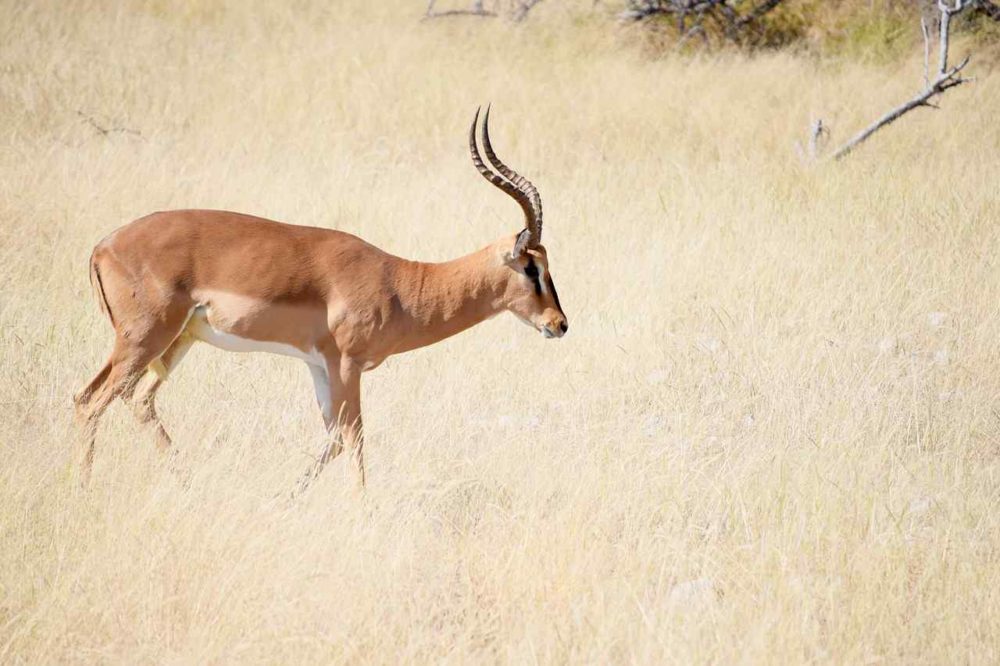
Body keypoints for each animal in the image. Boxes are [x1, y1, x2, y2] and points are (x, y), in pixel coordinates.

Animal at [73, 108, 568, 490]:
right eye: (532, 268)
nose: (559, 324)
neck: (400, 284)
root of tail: (102, 244)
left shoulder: (318, 365)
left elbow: (332, 440)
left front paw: (285, 498)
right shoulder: (348, 364)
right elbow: (356, 438)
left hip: (177, 340)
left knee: (135, 400)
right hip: (144, 339)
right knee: (88, 401)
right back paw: (84, 489)